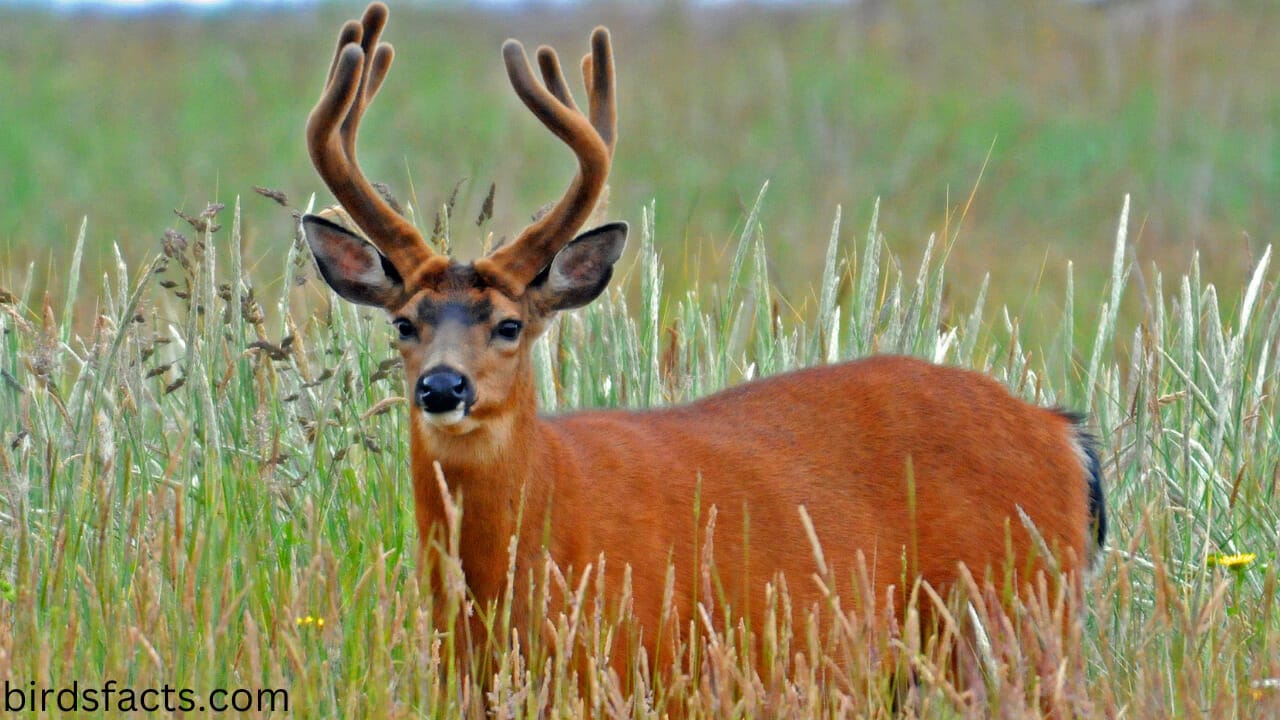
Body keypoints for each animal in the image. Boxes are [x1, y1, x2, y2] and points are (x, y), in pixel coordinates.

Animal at [301, 1, 1106, 694]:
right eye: (405, 323)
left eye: (509, 324)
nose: (443, 388)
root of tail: (1060, 432)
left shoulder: (634, 663)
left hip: (1015, 621)